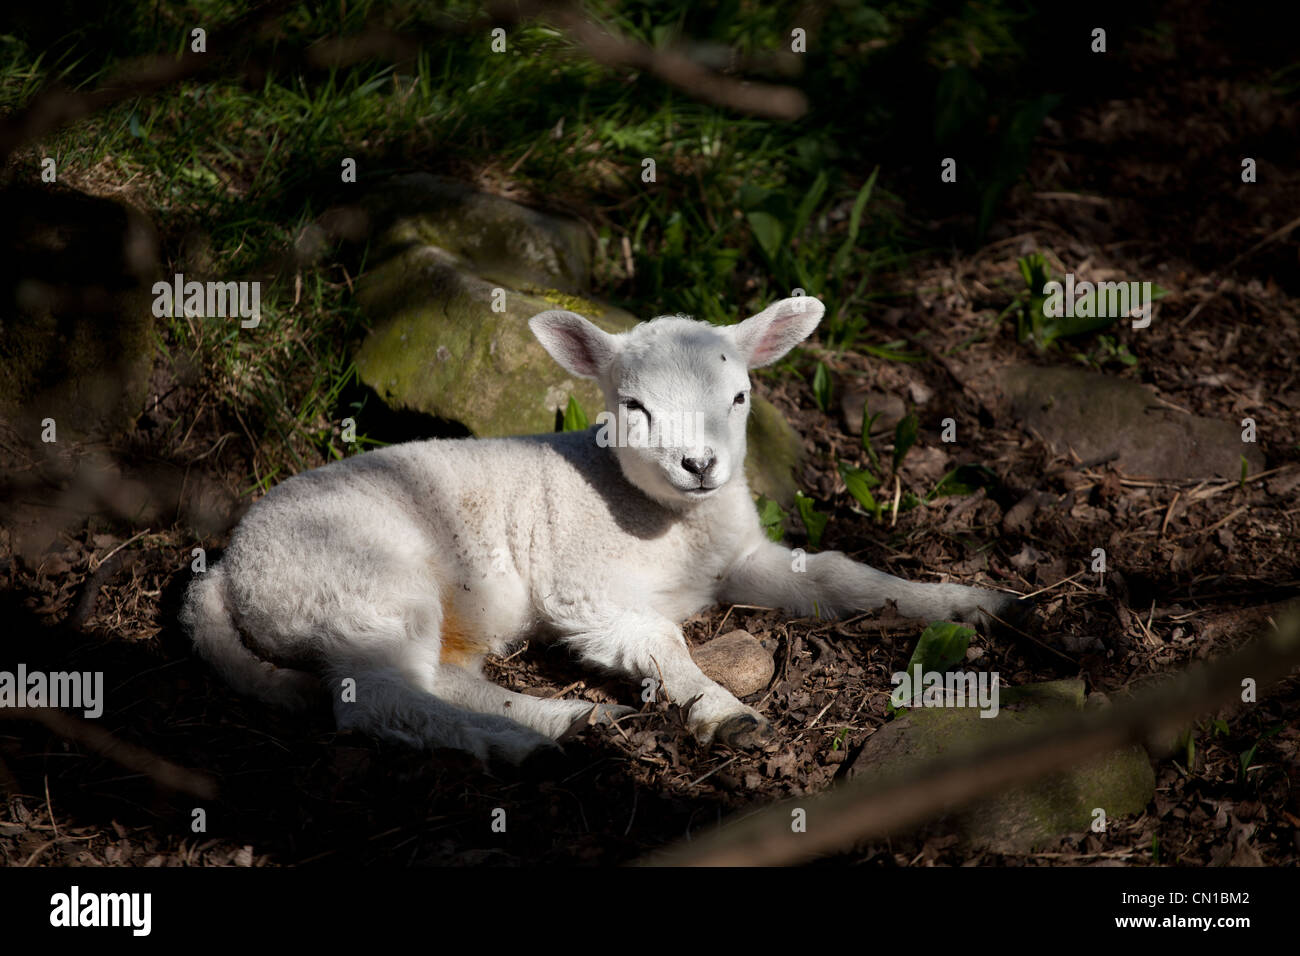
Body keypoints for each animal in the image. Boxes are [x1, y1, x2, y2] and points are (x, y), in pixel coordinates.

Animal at [180, 296, 1027, 762]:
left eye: (741, 397)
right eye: (634, 405)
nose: (699, 464)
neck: (669, 525)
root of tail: (226, 568)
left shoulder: (739, 558)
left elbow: (841, 575)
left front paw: (965, 603)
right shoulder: (583, 588)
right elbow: (661, 640)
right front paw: (724, 714)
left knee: (434, 677)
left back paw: (570, 718)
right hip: (361, 581)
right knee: (376, 701)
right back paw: (528, 738)